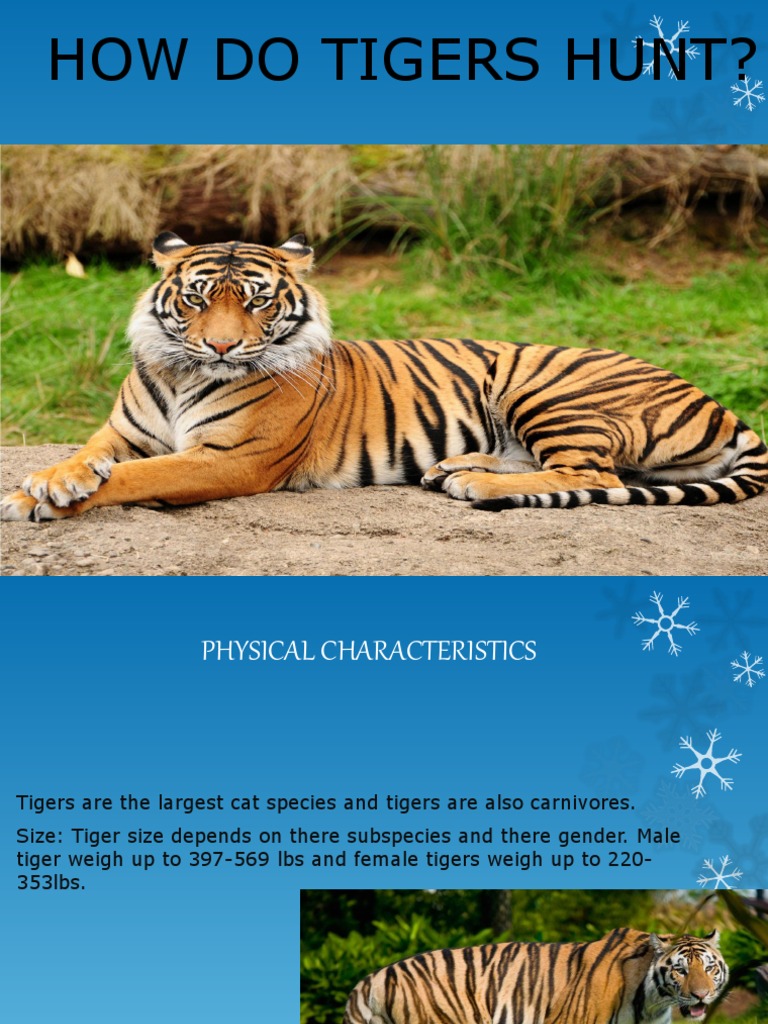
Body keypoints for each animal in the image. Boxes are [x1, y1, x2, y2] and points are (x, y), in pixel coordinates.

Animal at [2, 232, 766, 522]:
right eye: (195, 300)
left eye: (256, 301)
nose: (221, 347)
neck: (184, 372)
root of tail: (716, 401)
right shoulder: (123, 430)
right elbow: (91, 456)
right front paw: (43, 482)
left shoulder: (232, 458)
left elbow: (140, 476)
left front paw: (51, 499)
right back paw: (456, 467)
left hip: (543, 385)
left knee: (592, 474)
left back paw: (474, 483)